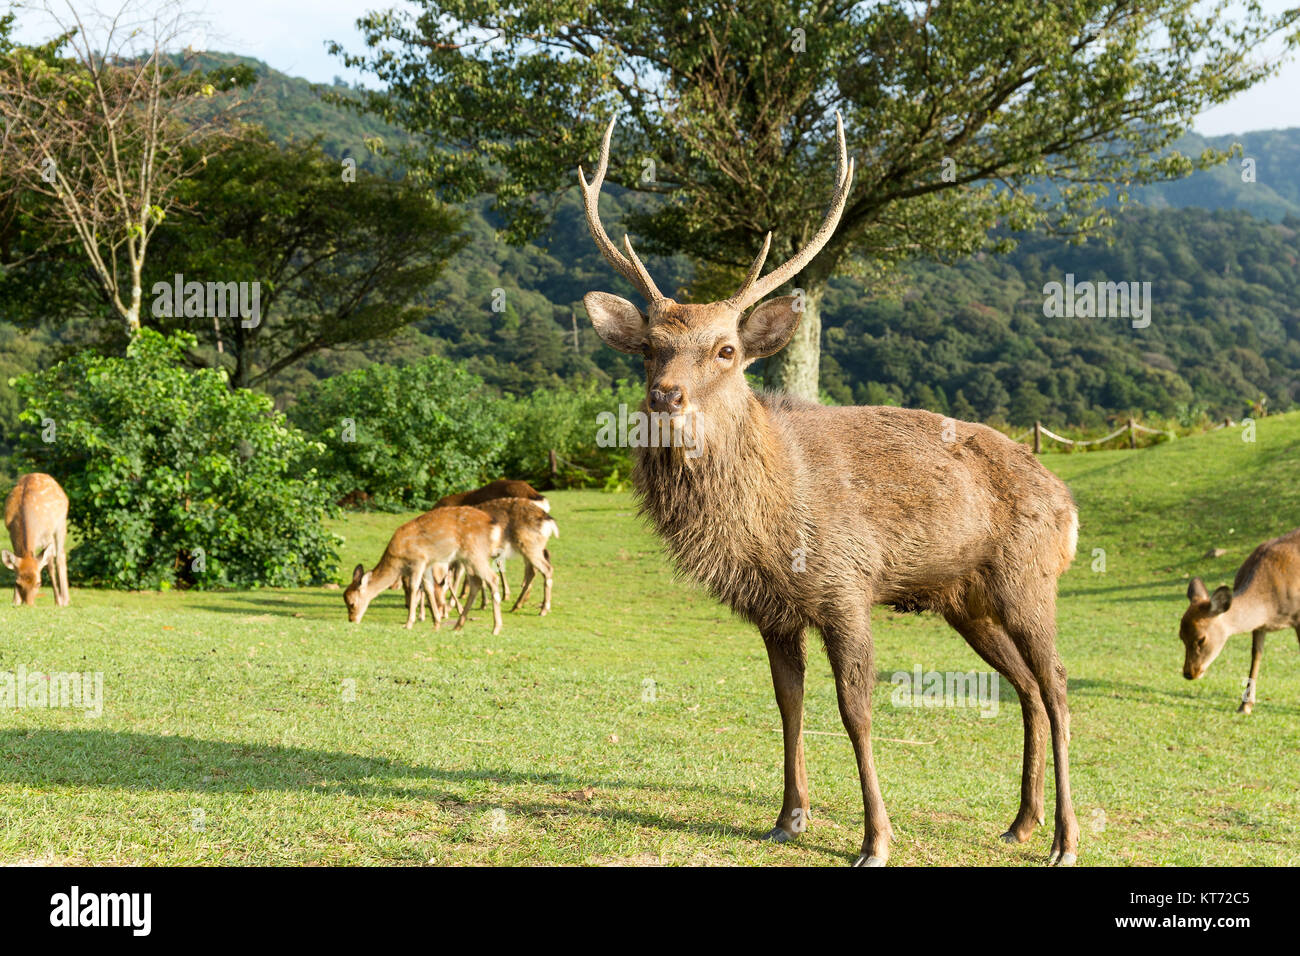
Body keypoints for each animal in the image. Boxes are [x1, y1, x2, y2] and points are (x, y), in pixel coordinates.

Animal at [3, 473, 70, 607]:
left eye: (39, 583)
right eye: (18, 583)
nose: (28, 604)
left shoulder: (47, 535)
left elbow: (50, 566)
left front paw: (58, 601)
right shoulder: (11, 534)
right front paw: (15, 601)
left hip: (61, 523)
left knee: (60, 556)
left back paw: (65, 599)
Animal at [344, 505, 503, 634]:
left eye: (352, 603)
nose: (352, 620)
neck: (397, 561)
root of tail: (494, 526)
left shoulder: (418, 560)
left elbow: (414, 587)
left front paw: (408, 624)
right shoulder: (428, 564)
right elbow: (428, 588)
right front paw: (436, 624)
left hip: (475, 553)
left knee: (492, 578)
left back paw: (496, 628)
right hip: (468, 558)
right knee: (476, 583)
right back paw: (457, 626)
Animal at [578, 113, 1080, 867]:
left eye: (726, 349)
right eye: (647, 348)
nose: (666, 396)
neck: (768, 523)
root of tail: (1070, 504)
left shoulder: (846, 586)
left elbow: (854, 709)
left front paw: (876, 838)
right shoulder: (772, 610)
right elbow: (788, 702)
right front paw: (790, 816)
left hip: (1029, 577)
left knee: (1056, 684)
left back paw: (1065, 838)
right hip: (968, 599)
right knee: (1022, 686)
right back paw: (1020, 822)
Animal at [1181, 528, 1300, 713]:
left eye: (1201, 639)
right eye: (1181, 636)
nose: (1189, 673)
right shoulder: (1260, 625)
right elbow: (1256, 655)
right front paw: (1245, 705)